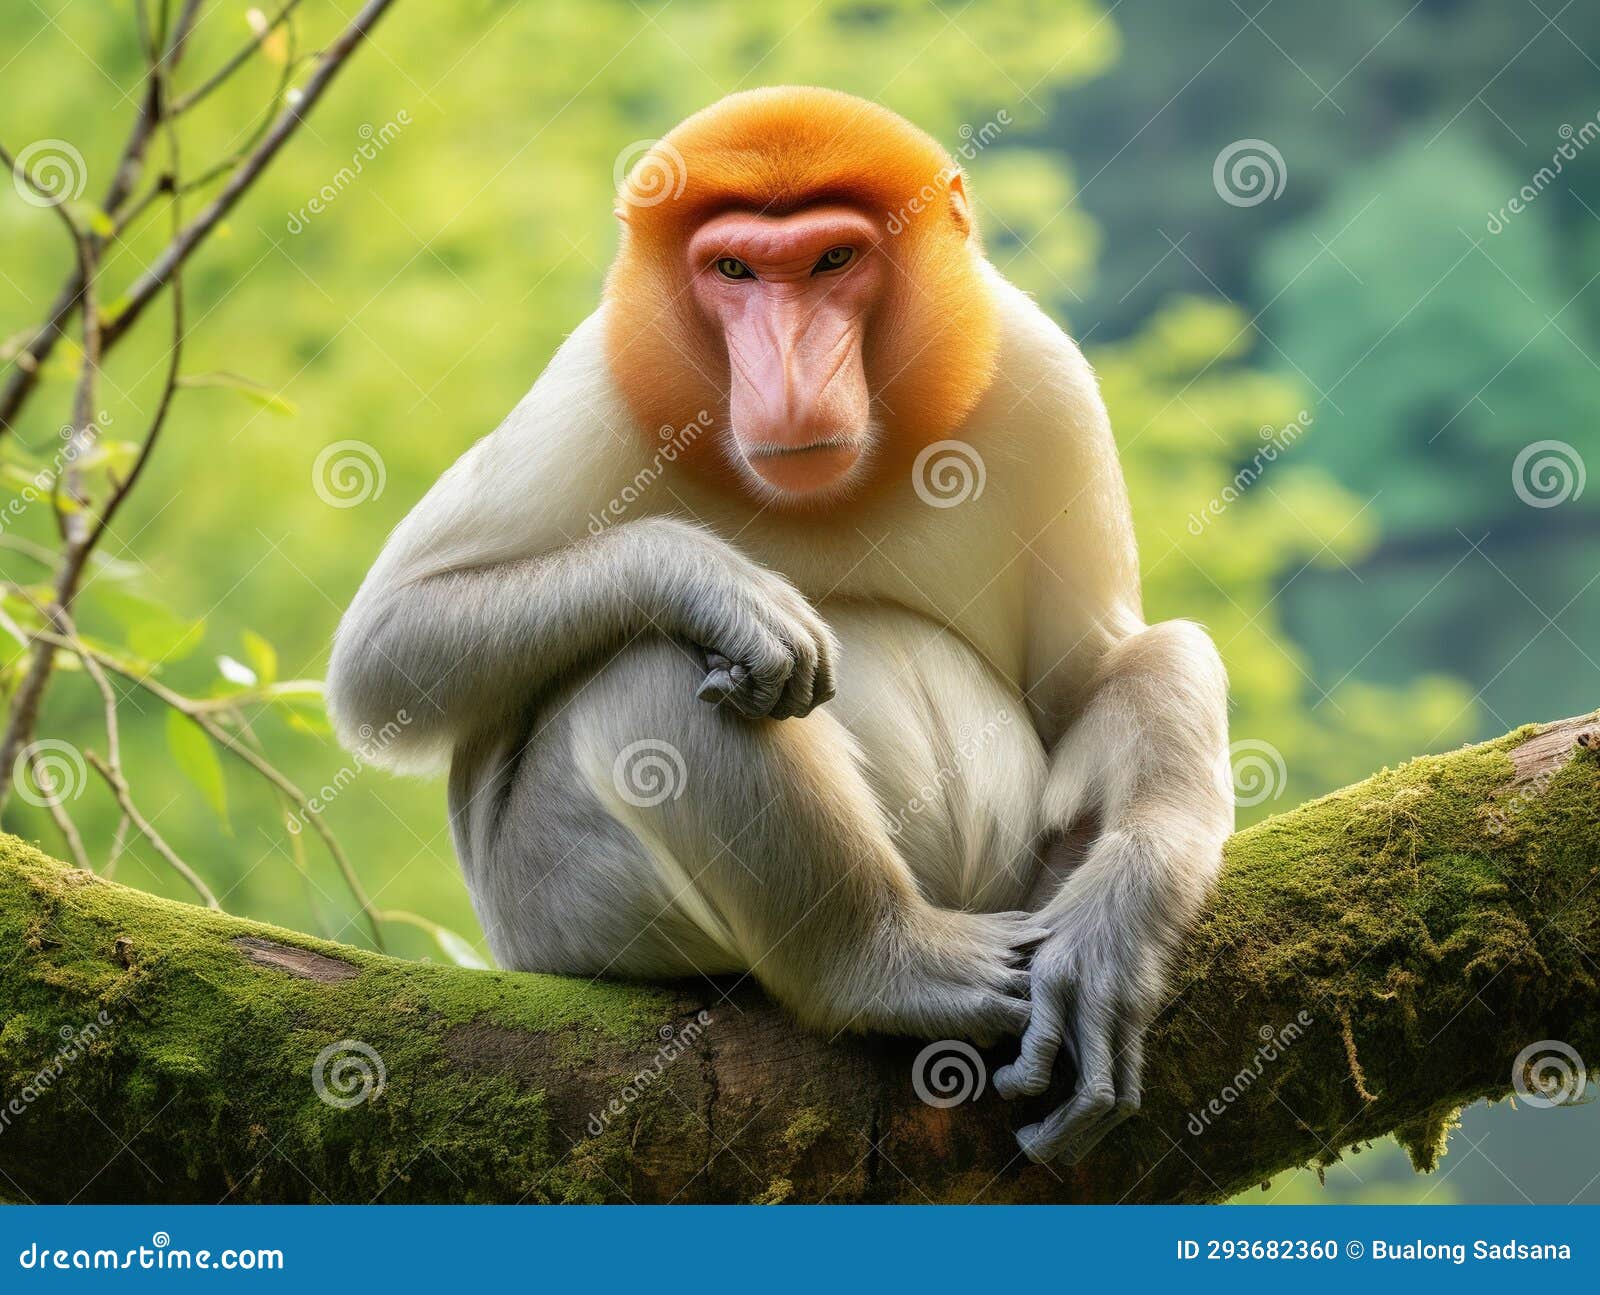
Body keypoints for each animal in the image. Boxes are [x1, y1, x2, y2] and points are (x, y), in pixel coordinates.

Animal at [326, 87, 1233, 1164]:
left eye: (832, 260)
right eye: (733, 270)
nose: (792, 376)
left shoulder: (1038, 372)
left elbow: (1098, 667)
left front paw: (1114, 928)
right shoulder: (600, 383)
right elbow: (388, 656)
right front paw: (712, 583)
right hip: (556, 903)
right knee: (654, 675)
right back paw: (882, 961)